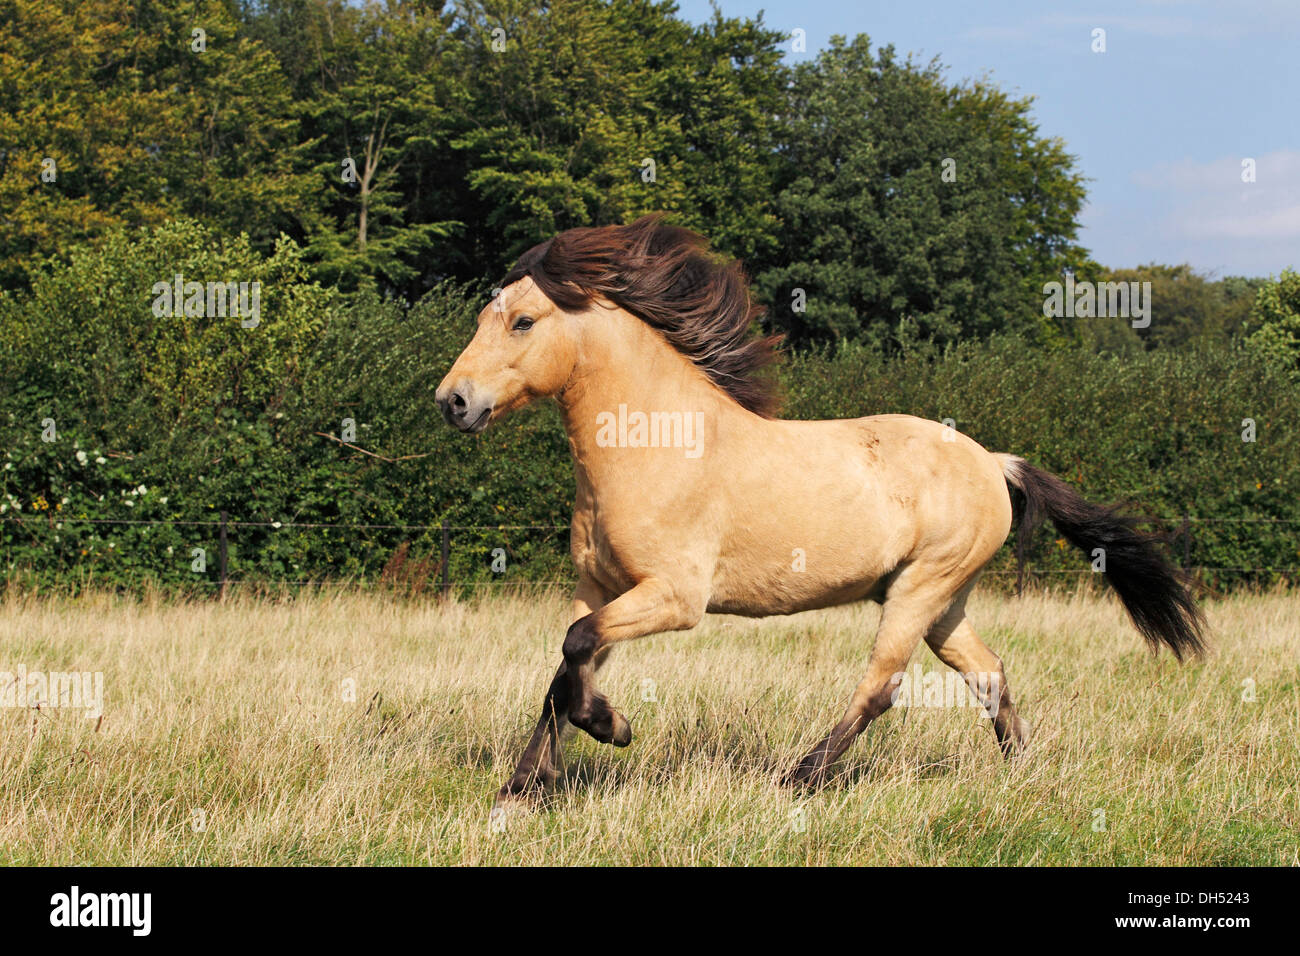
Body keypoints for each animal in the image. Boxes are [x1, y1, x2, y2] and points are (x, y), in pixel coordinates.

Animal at [435, 215, 1205, 808]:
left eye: (524, 321)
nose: (453, 401)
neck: (654, 445)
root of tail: (994, 463)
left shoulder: (674, 597)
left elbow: (574, 653)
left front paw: (611, 730)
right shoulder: (603, 587)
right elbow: (565, 672)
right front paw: (522, 789)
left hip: (920, 591)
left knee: (882, 687)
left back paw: (798, 779)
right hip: (941, 600)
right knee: (988, 673)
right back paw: (1021, 771)